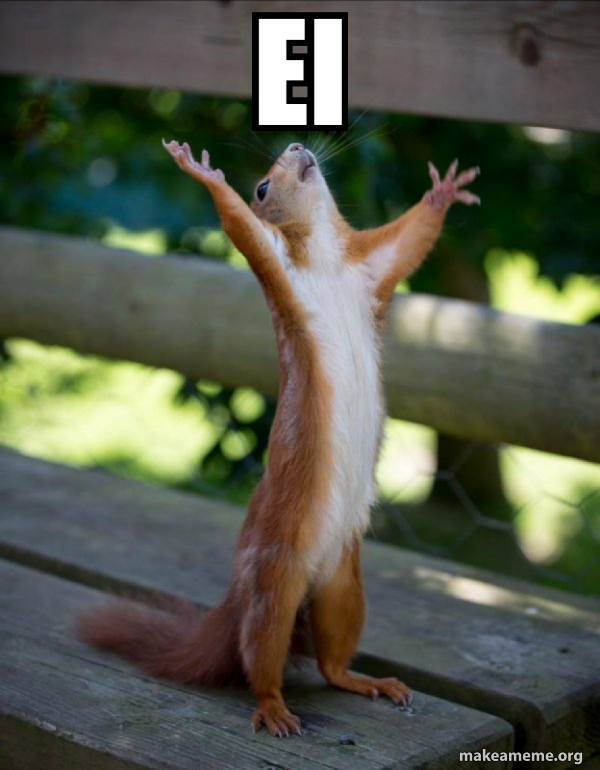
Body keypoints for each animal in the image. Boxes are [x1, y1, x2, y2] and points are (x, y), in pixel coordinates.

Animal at [77, 138, 480, 738]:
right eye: (262, 187)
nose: (295, 145)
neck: (327, 257)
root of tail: (240, 595)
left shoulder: (372, 267)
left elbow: (409, 240)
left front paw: (443, 192)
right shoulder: (277, 266)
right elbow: (241, 226)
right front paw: (204, 174)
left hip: (344, 586)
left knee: (332, 661)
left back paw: (368, 682)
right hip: (273, 585)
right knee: (260, 658)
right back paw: (273, 708)